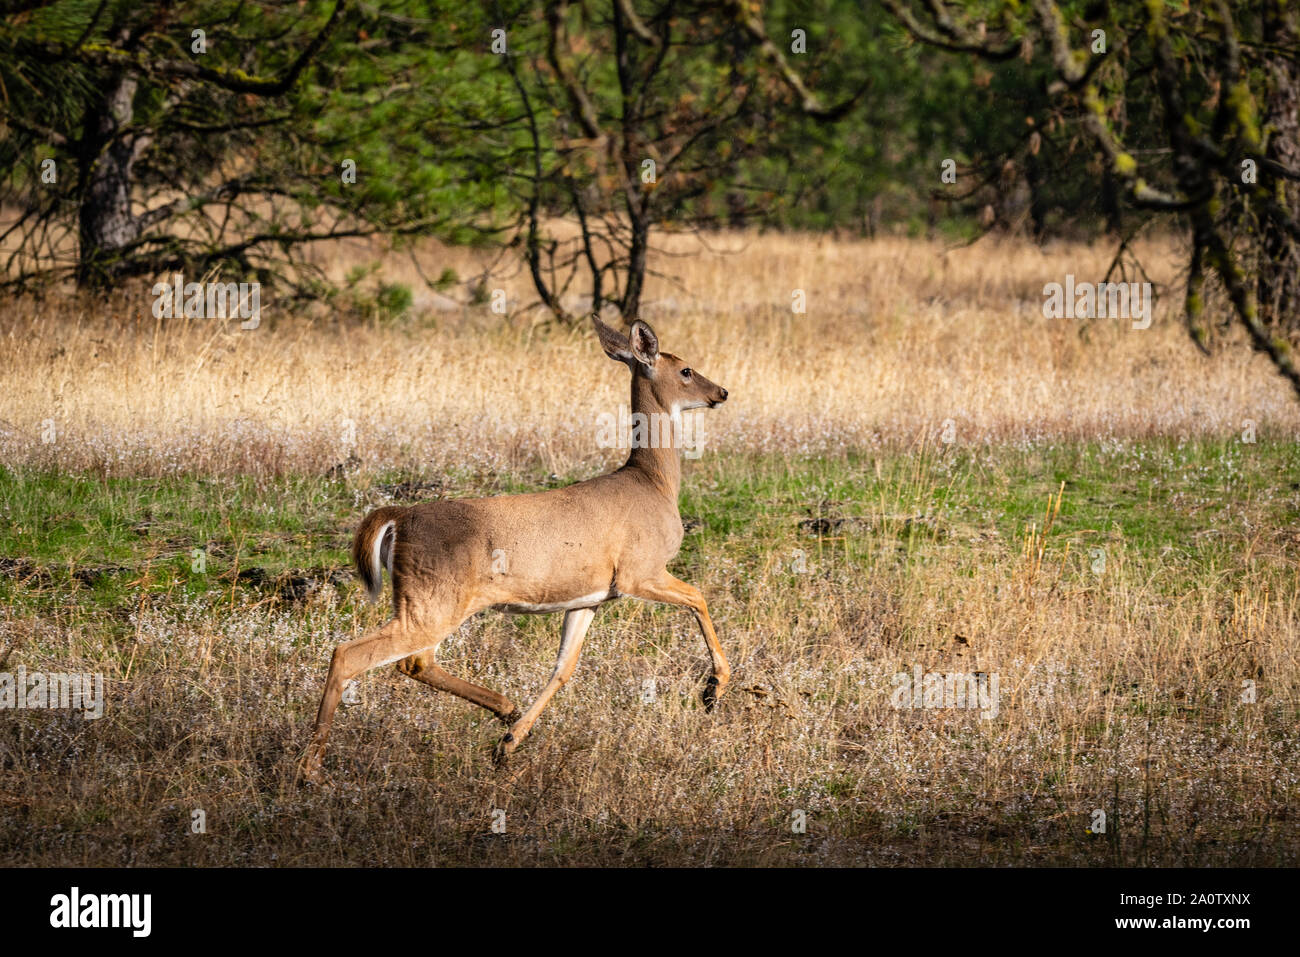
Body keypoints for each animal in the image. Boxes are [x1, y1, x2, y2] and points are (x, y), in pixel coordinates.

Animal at [300, 315, 730, 781]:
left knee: (414, 661)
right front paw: (713, 690)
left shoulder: (590, 597)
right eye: (685, 369)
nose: (721, 392)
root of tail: (400, 517)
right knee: (352, 653)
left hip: (427, 600)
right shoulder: (640, 570)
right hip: (435, 599)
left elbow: (564, 668)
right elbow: (699, 597)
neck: (654, 484)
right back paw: (309, 769)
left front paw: (509, 743)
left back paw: (505, 710)